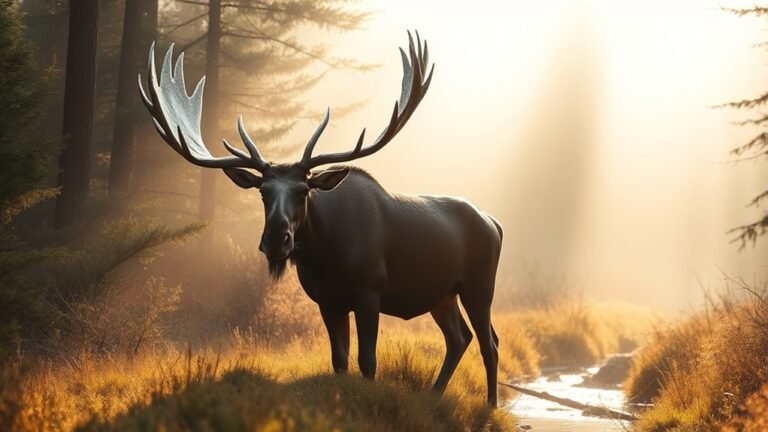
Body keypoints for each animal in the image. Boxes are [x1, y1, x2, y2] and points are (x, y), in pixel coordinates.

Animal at [139, 32, 503, 406]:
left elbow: (367, 362)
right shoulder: (328, 301)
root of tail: (494, 222)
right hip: (443, 295)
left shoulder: (370, 291)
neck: (328, 256)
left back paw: (490, 405)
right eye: (262, 192)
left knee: (489, 342)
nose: (276, 239)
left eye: (304, 190)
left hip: (479, 285)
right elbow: (339, 361)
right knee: (459, 337)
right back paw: (435, 394)